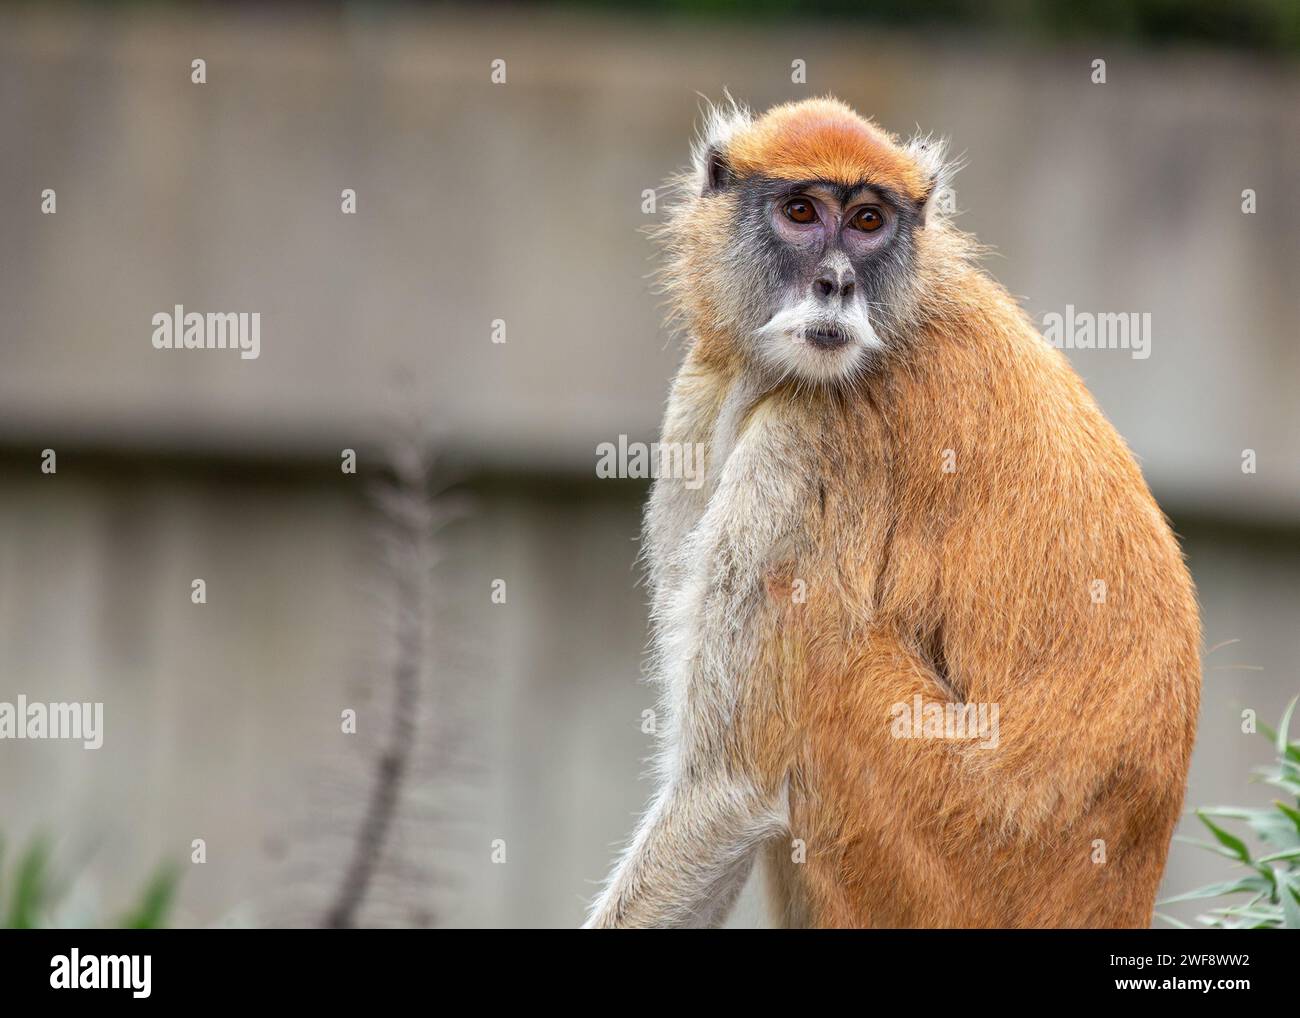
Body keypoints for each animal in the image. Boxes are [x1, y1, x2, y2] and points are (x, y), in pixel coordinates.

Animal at [584, 97, 1201, 929]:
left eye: (869, 220)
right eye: (802, 212)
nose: (838, 282)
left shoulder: (813, 443)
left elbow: (727, 793)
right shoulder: (705, 387)